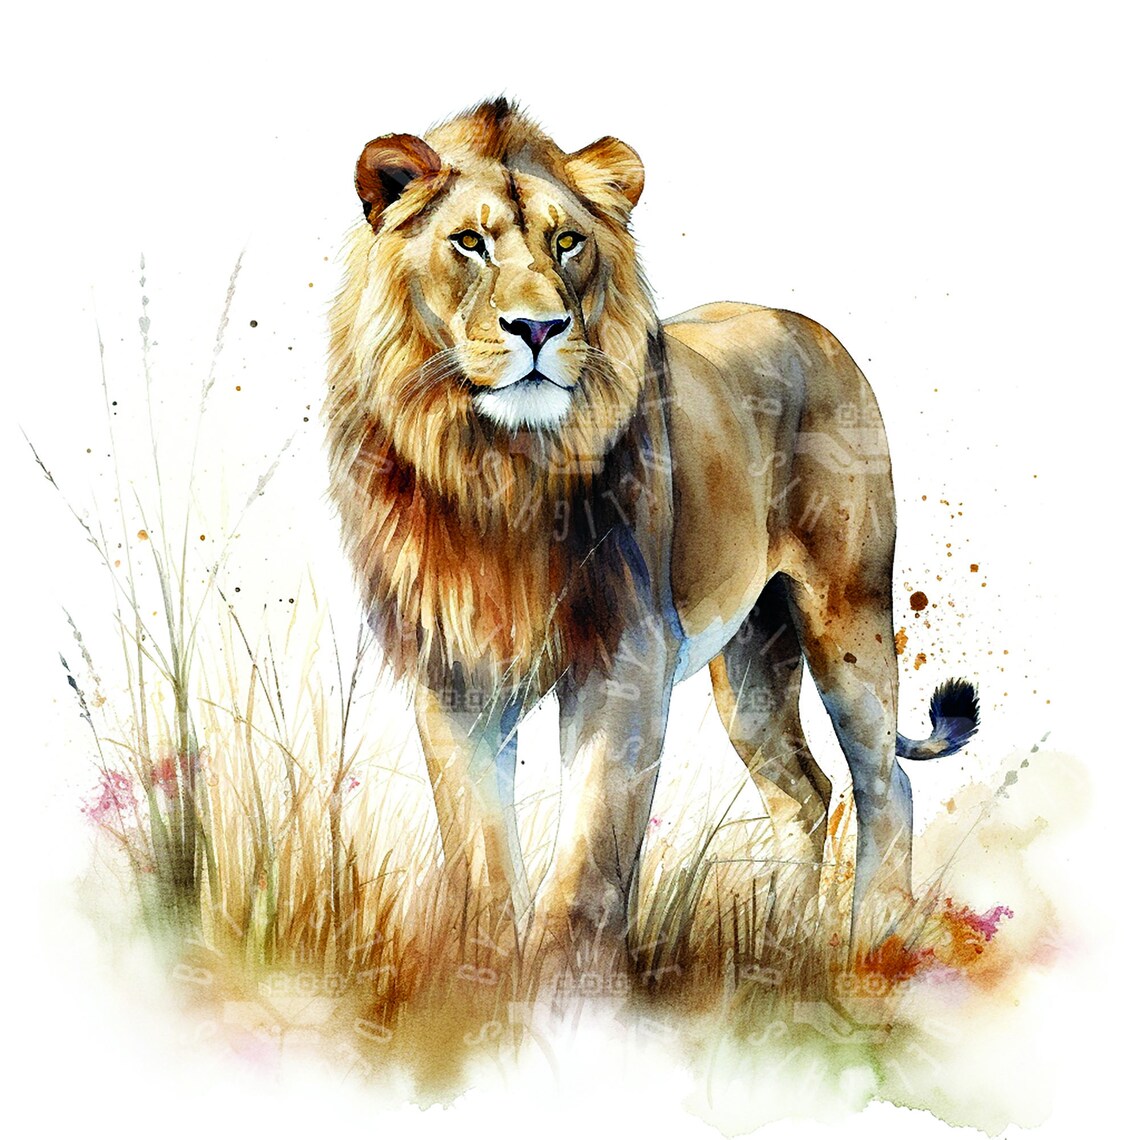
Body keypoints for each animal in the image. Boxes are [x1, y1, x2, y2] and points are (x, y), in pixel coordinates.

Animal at [325, 98, 978, 967]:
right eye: (469, 241)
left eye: (567, 242)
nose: (539, 328)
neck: (502, 467)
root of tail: (810, 328)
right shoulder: (453, 669)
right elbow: (477, 844)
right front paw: (482, 968)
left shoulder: (628, 654)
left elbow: (593, 848)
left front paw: (568, 982)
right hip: (752, 660)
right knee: (804, 792)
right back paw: (780, 941)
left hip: (848, 613)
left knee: (884, 781)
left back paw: (876, 931)